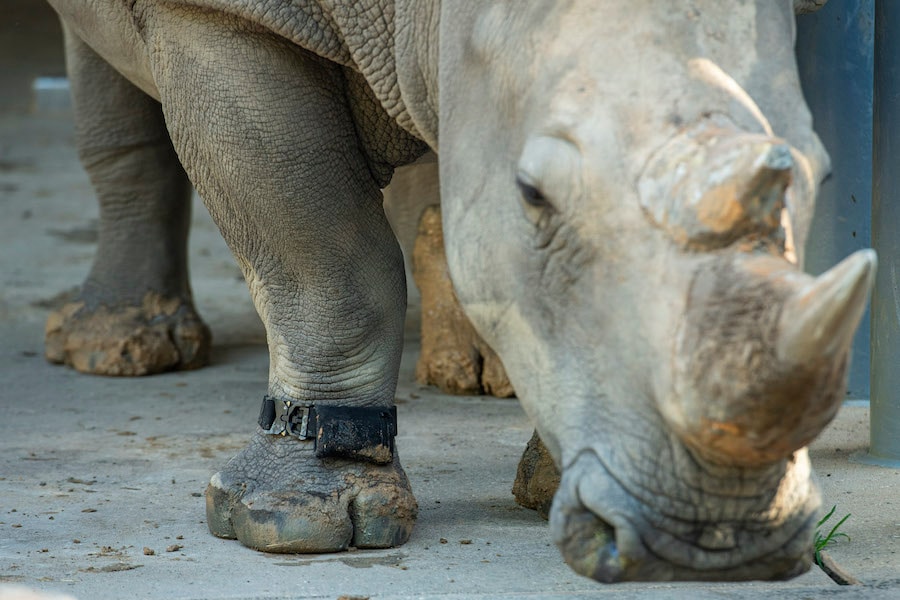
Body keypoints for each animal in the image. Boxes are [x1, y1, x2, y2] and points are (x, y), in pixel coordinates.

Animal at [45, 0, 874, 583]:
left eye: (821, 172)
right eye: (534, 195)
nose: (711, 541)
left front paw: (547, 485)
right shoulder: (226, 14)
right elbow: (321, 253)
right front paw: (295, 519)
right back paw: (122, 351)